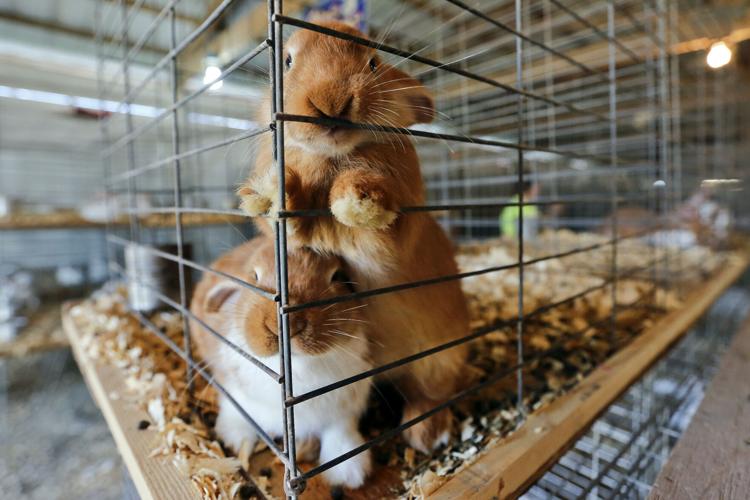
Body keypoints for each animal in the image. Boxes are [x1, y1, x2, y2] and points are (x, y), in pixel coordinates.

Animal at [189, 236, 373, 488]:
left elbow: (341, 428)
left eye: (337, 276)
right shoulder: (231, 383)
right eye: (254, 276)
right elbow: (235, 404)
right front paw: (234, 436)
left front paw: (349, 473)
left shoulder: (347, 401)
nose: (287, 325)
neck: (294, 373)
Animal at [238, 21, 469, 453]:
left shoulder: (386, 244)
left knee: (431, 395)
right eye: (287, 61)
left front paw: (358, 199)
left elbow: (373, 226)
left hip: (437, 361)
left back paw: (425, 433)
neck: (330, 157)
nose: (330, 101)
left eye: (373, 62)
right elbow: (290, 218)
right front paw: (269, 193)